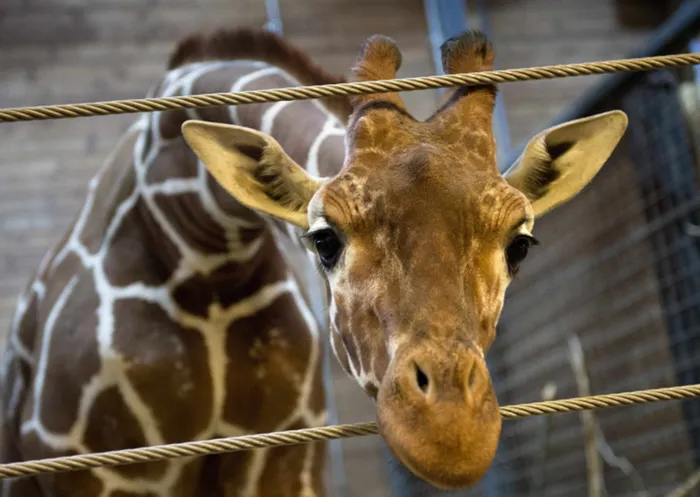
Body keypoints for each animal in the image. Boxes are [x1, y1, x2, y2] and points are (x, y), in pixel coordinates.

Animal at [0, 27, 628, 496]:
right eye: (325, 240)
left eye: (519, 243)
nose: (450, 434)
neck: (201, 249)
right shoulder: (98, 470)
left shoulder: (283, 458)